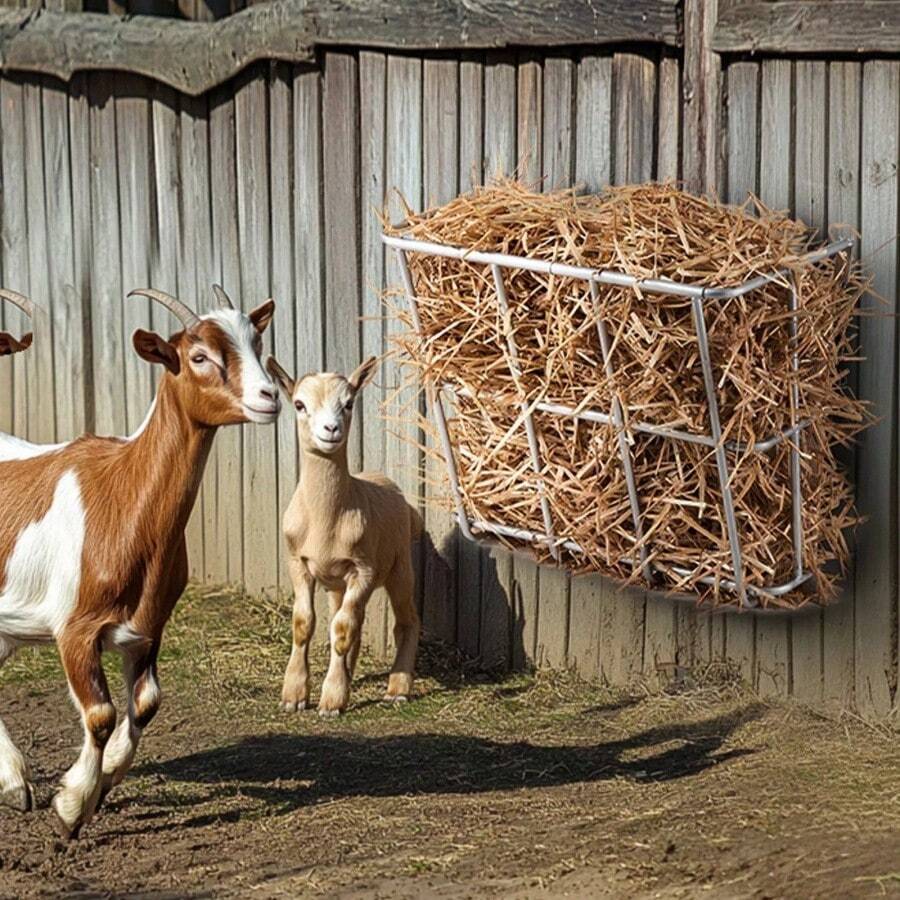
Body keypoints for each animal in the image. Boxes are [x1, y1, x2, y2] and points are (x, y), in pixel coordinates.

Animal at [0, 285, 279, 839]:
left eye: (256, 343)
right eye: (199, 357)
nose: (269, 396)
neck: (123, 496)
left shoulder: (149, 627)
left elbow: (146, 704)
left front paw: (103, 780)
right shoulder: (74, 628)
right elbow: (101, 715)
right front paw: (70, 811)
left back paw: (15, 785)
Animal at [265, 355, 421, 716]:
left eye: (348, 404)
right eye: (299, 404)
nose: (331, 429)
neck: (326, 518)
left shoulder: (362, 569)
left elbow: (340, 630)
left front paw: (332, 700)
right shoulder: (297, 562)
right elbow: (304, 624)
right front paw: (294, 695)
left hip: (400, 567)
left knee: (406, 621)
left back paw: (398, 688)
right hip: (337, 584)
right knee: (355, 623)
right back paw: (351, 674)